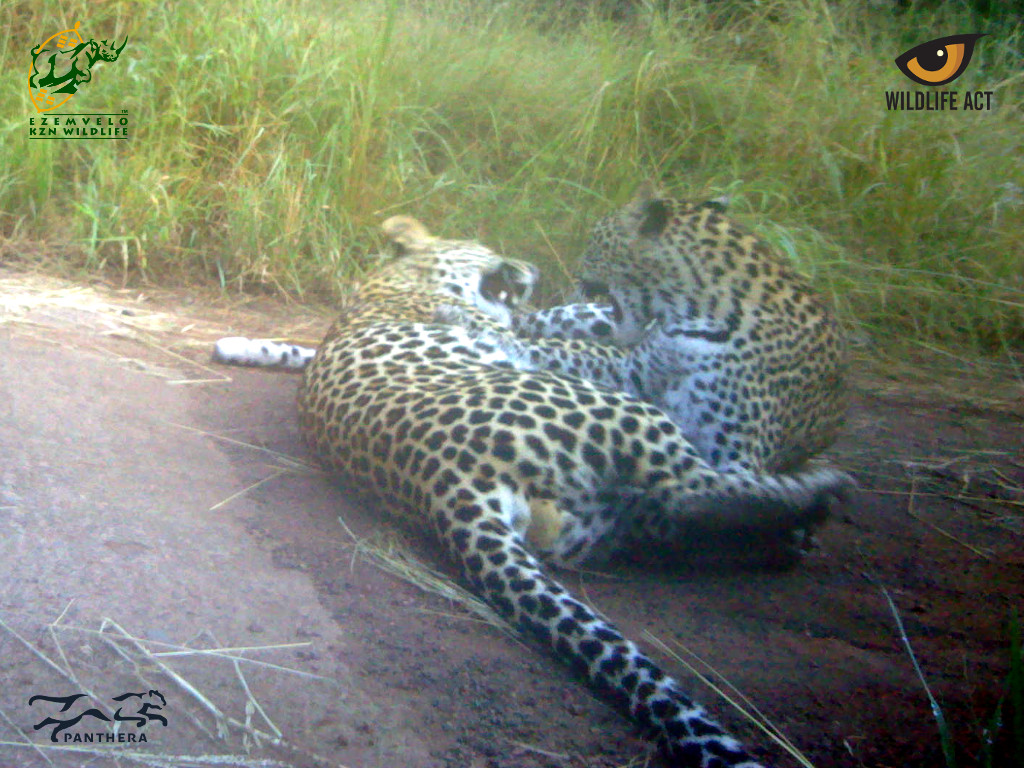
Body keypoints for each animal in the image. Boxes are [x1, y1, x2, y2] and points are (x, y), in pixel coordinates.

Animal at [287, 213, 853, 767]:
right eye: (485, 246)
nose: (533, 268)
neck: (394, 283)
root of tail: (444, 484)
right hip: (623, 411)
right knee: (694, 489)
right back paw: (815, 495)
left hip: (602, 516)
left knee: (683, 521)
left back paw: (787, 534)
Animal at [513, 184, 849, 475]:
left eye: (593, 241)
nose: (574, 268)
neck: (691, 315)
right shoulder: (631, 372)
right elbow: (559, 352)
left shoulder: (740, 456)